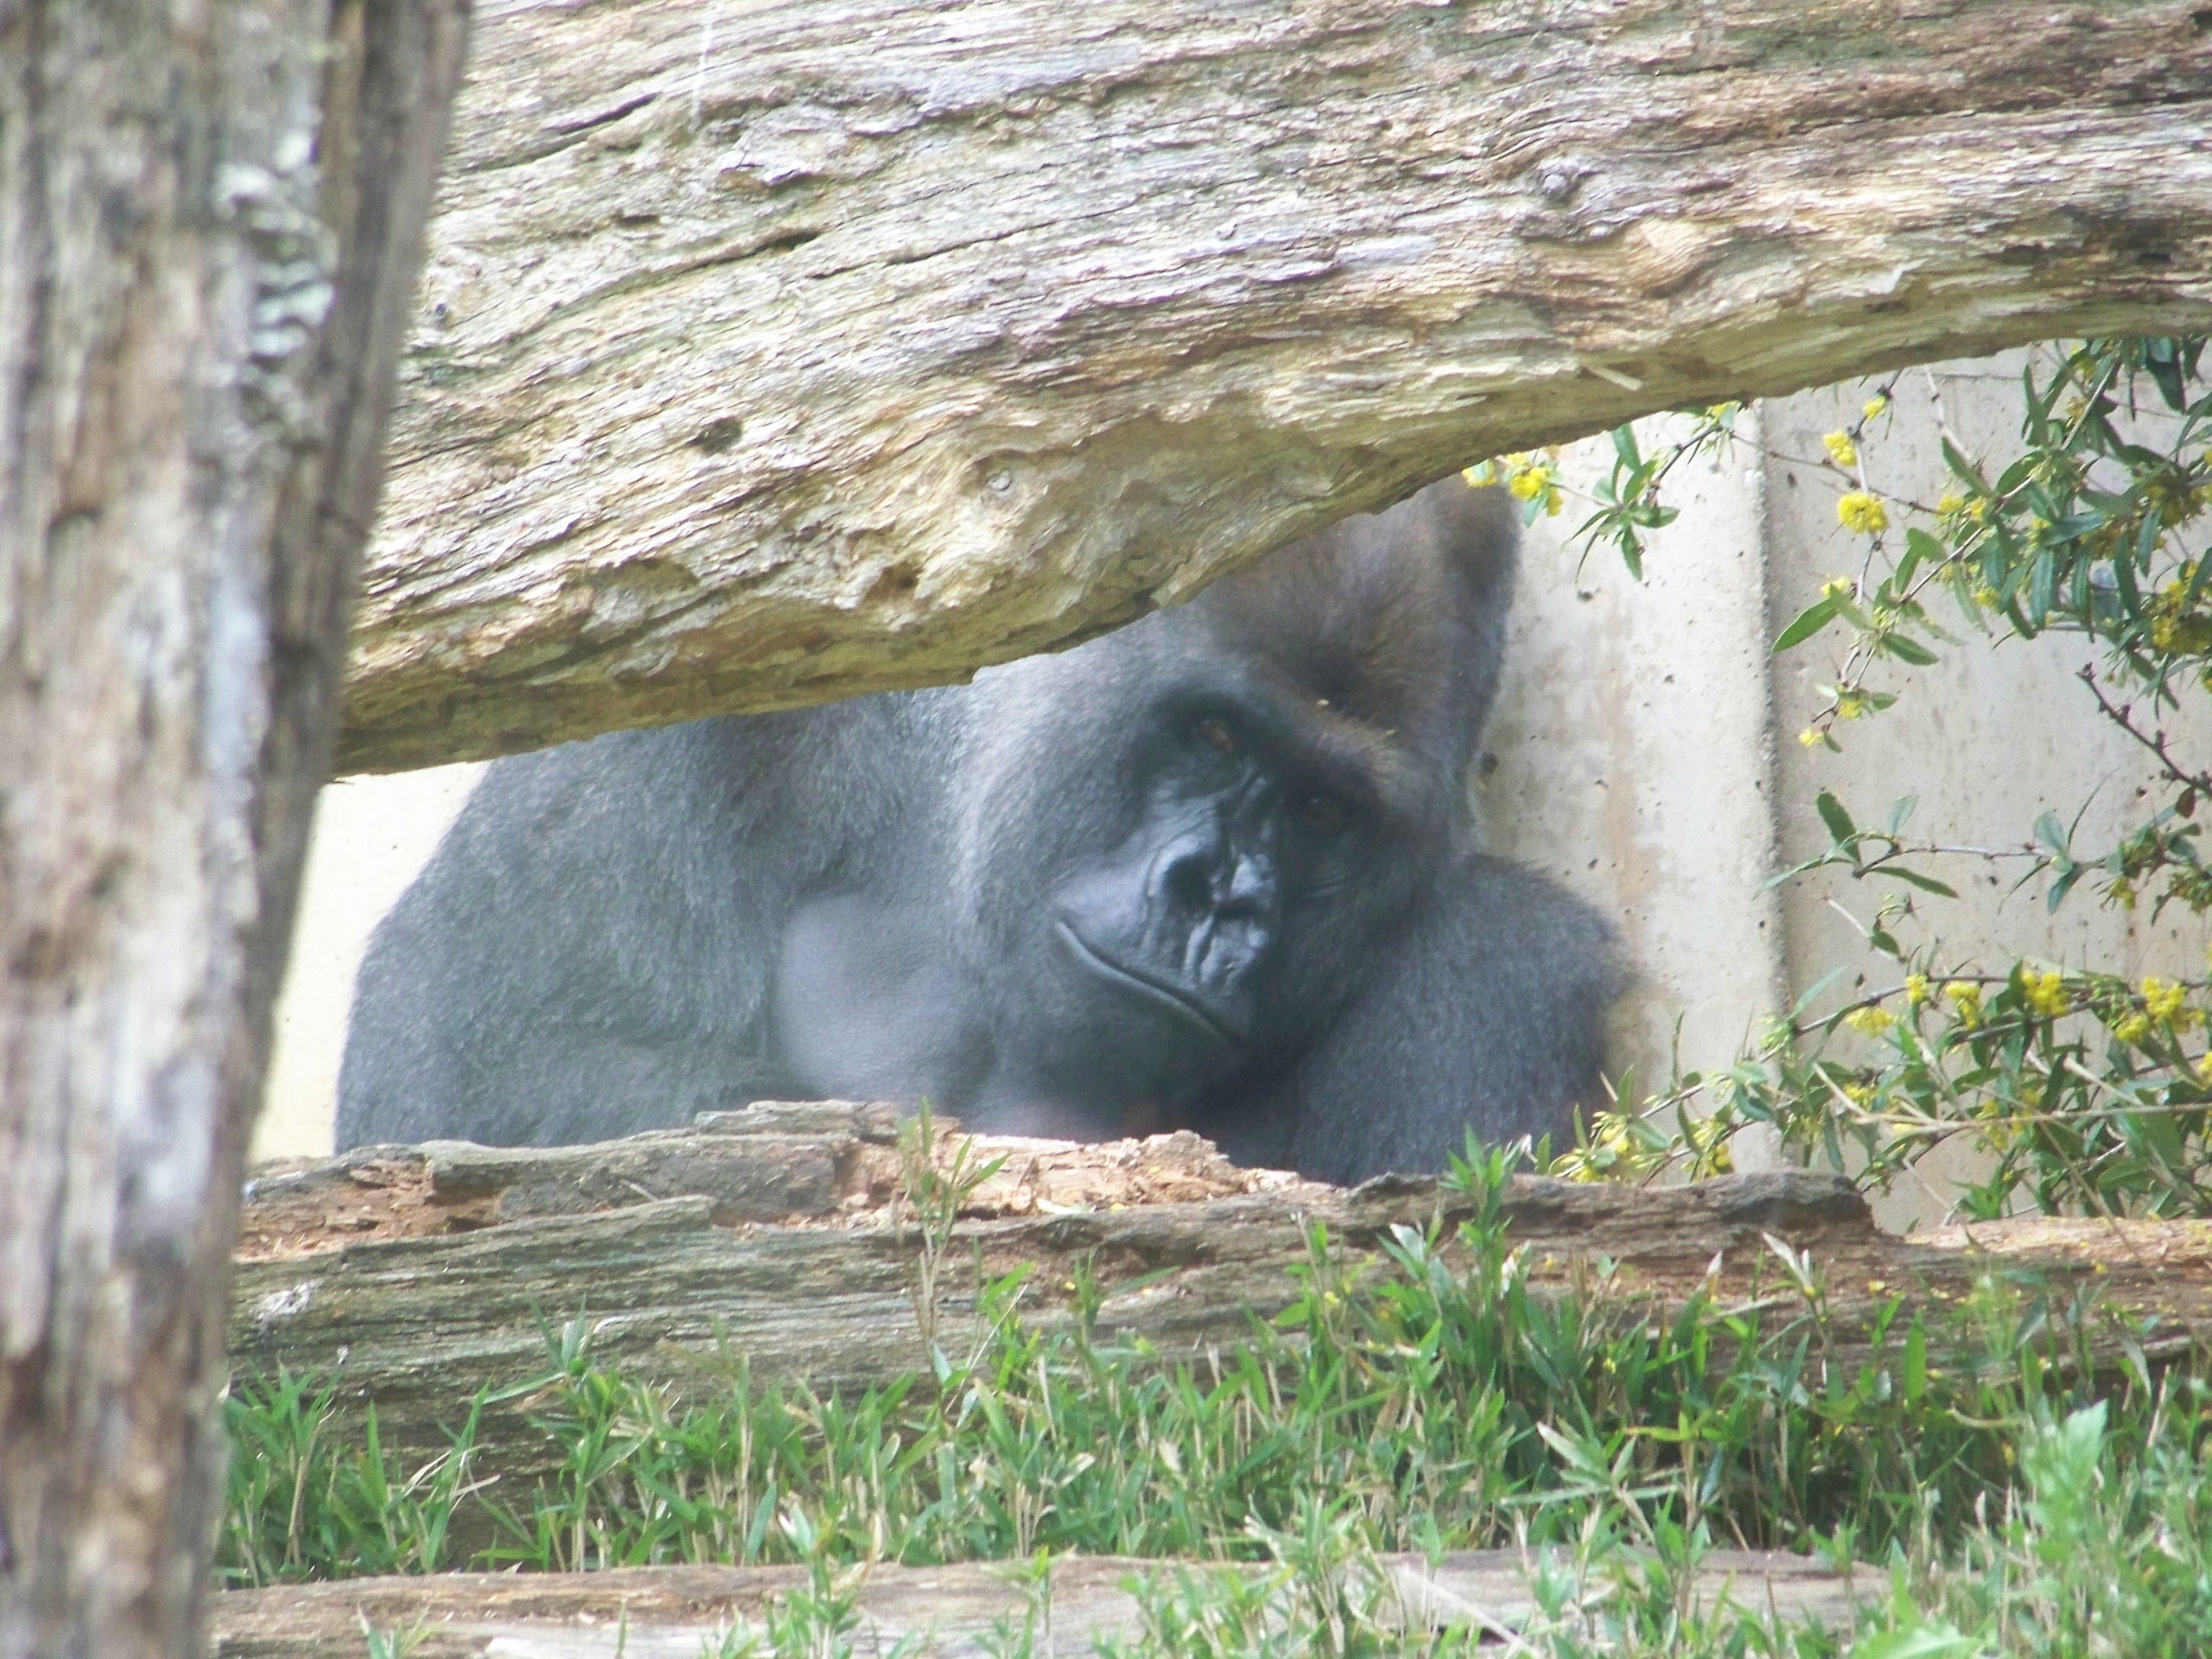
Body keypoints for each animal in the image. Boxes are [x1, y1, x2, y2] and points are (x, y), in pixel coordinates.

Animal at [337, 477, 1622, 1184]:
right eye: (1212, 737)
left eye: (1323, 810)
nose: (1217, 896)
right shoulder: (717, 705)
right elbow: (466, 1075)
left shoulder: (1505, 966)